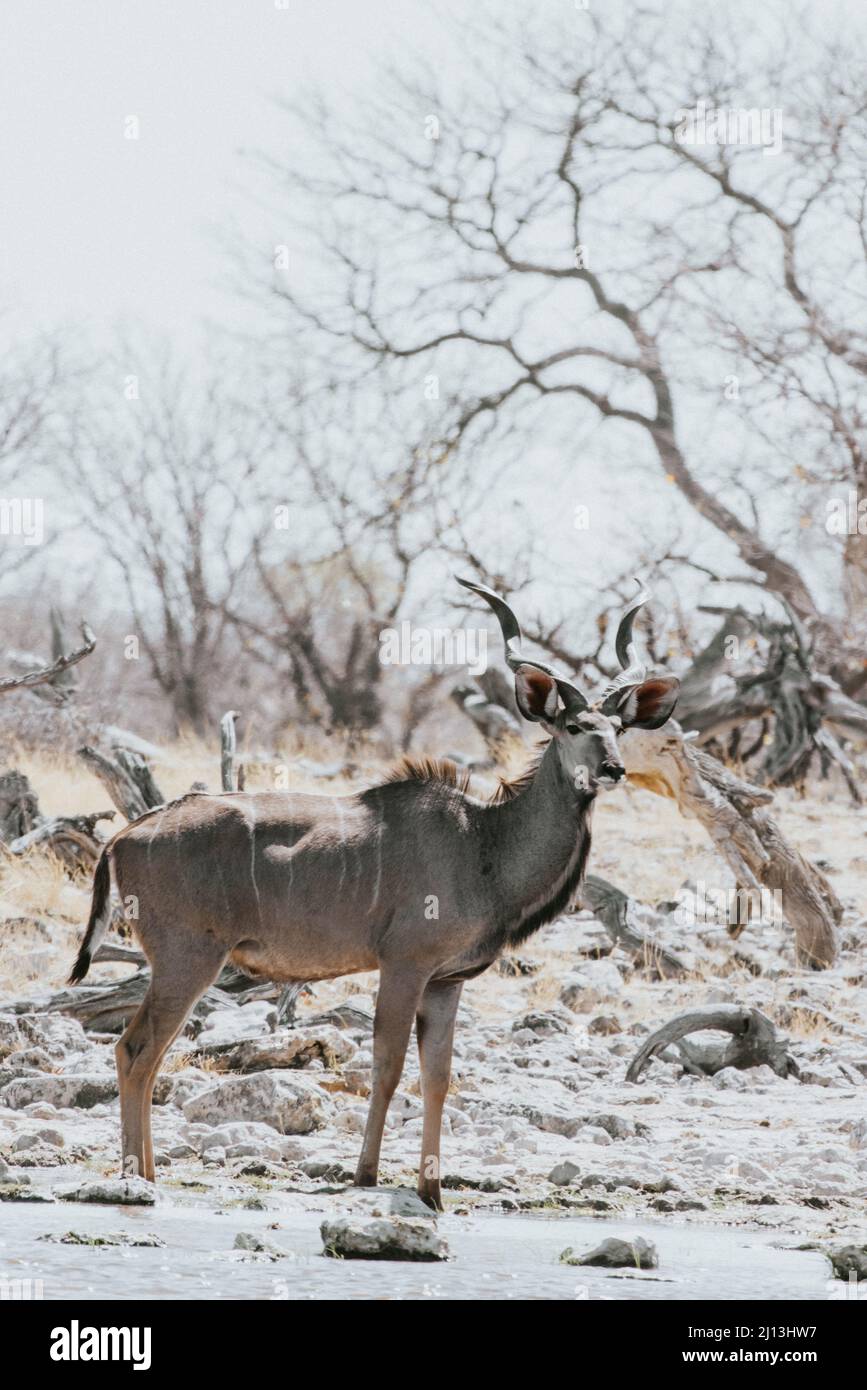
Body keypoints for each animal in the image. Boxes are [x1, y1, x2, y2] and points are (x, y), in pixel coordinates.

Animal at [68, 577, 679, 1209]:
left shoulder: (446, 981)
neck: (482, 843)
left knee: (144, 1052)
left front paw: (433, 1191)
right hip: (188, 959)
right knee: (137, 1049)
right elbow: (387, 1066)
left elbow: (438, 1076)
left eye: (619, 729)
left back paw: (147, 1174)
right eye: (574, 727)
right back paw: (137, 1179)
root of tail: (121, 839)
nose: (612, 769)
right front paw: (366, 1174)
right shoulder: (404, 964)